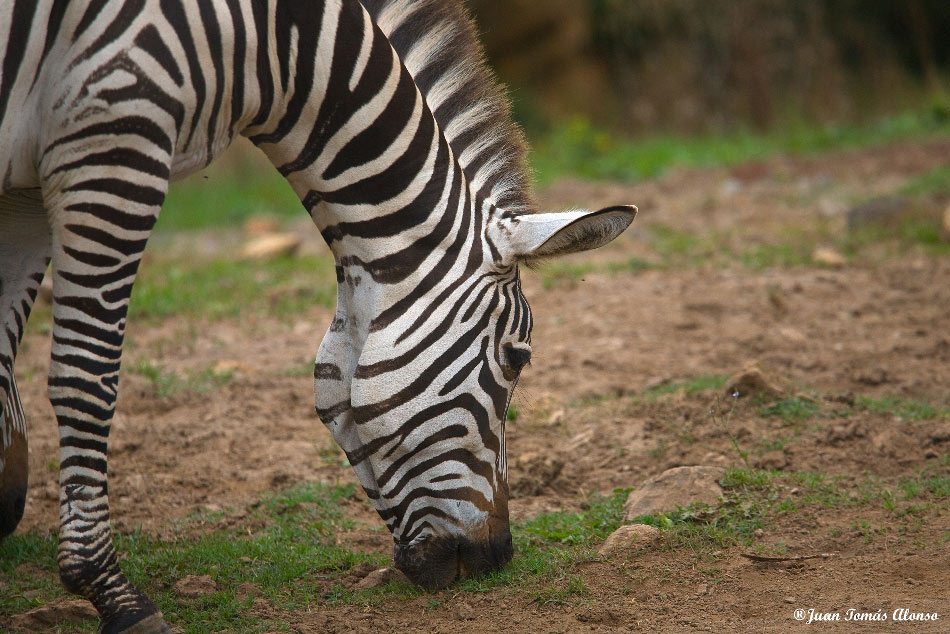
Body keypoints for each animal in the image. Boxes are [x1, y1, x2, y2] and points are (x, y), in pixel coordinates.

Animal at [0, 1, 636, 631]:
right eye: (517, 358)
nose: (497, 557)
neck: (272, 46)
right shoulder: (113, 137)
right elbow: (88, 379)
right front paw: (113, 593)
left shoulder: (29, 184)